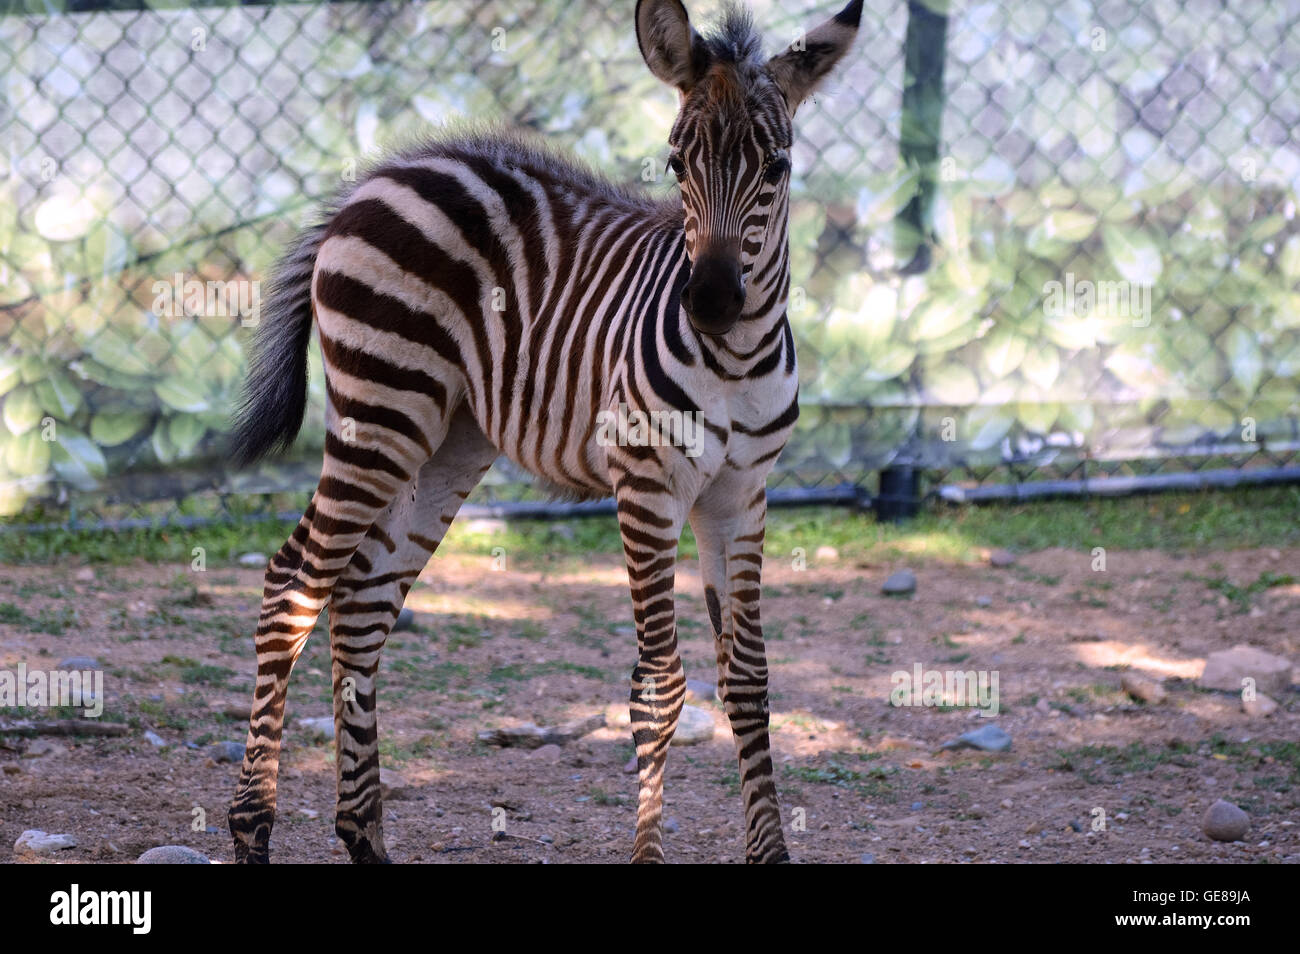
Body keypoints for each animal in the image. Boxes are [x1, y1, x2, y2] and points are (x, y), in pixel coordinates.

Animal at [227, 0, 861, 864]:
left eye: (777, 167)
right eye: (675, 165)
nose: (710, 302)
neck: (734, 358)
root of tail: (378, 178)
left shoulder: (741, 494)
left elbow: (749, 679)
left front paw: (769, 851)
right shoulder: (646, 485)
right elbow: (660, 684)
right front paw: (646, 855)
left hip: (447, 440)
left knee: (359, 603)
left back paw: (365, 838)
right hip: (380, 415)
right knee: (293, 585)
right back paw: (251, 828)